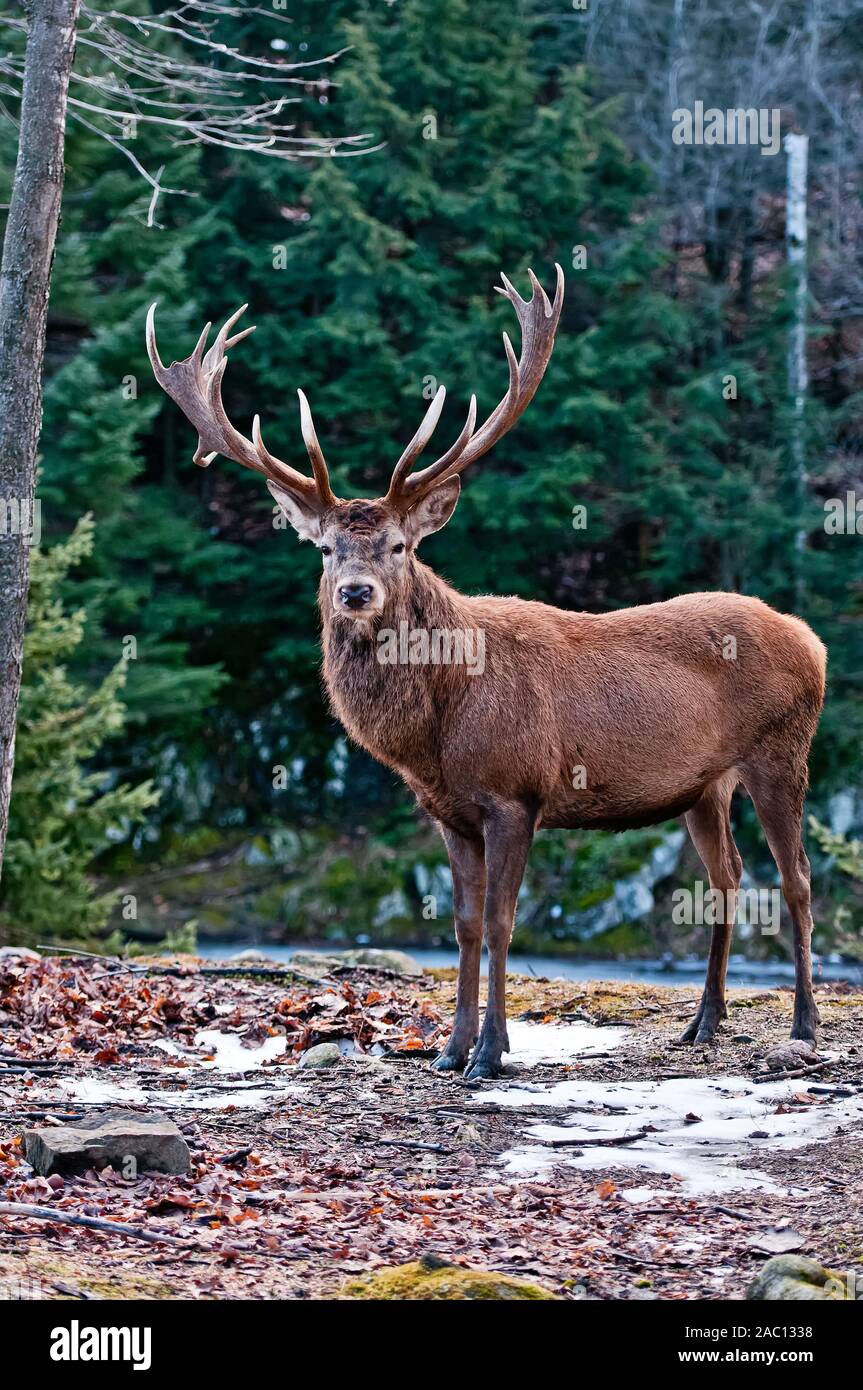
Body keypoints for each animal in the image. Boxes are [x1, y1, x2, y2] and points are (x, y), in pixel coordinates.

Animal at [146, 266, 827, 1079]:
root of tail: (813, 640)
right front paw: (447, 1049)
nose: (355, 594)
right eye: (326, 549)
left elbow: (503, 922)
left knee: (796, 879)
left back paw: (803, 1026)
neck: (436, 733)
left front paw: (491, 1053)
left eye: (401, 546)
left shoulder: (515, 793)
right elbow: (465, 926)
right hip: (703, 786)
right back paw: (703, 1023)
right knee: (728, 879)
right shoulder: (450, 812)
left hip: (782, 751)